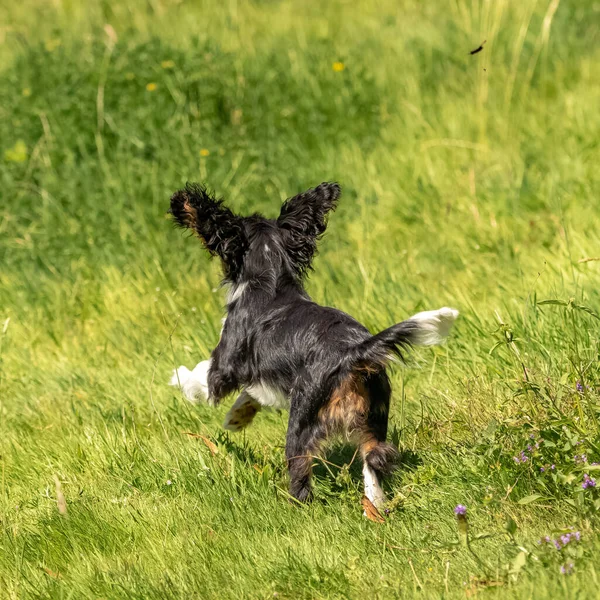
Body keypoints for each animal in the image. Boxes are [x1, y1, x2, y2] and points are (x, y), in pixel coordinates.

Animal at [166, 182, 458, 506]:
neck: (269, 281)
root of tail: (353, 353)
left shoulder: (226, 363)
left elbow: (203, 378)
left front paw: (178, 376)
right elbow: (252, 393)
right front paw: (237, 419)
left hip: (303, 419)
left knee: (301, 472)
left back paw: (294, 504)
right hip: (375, 413)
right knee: (374, 459)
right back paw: (374, 505)